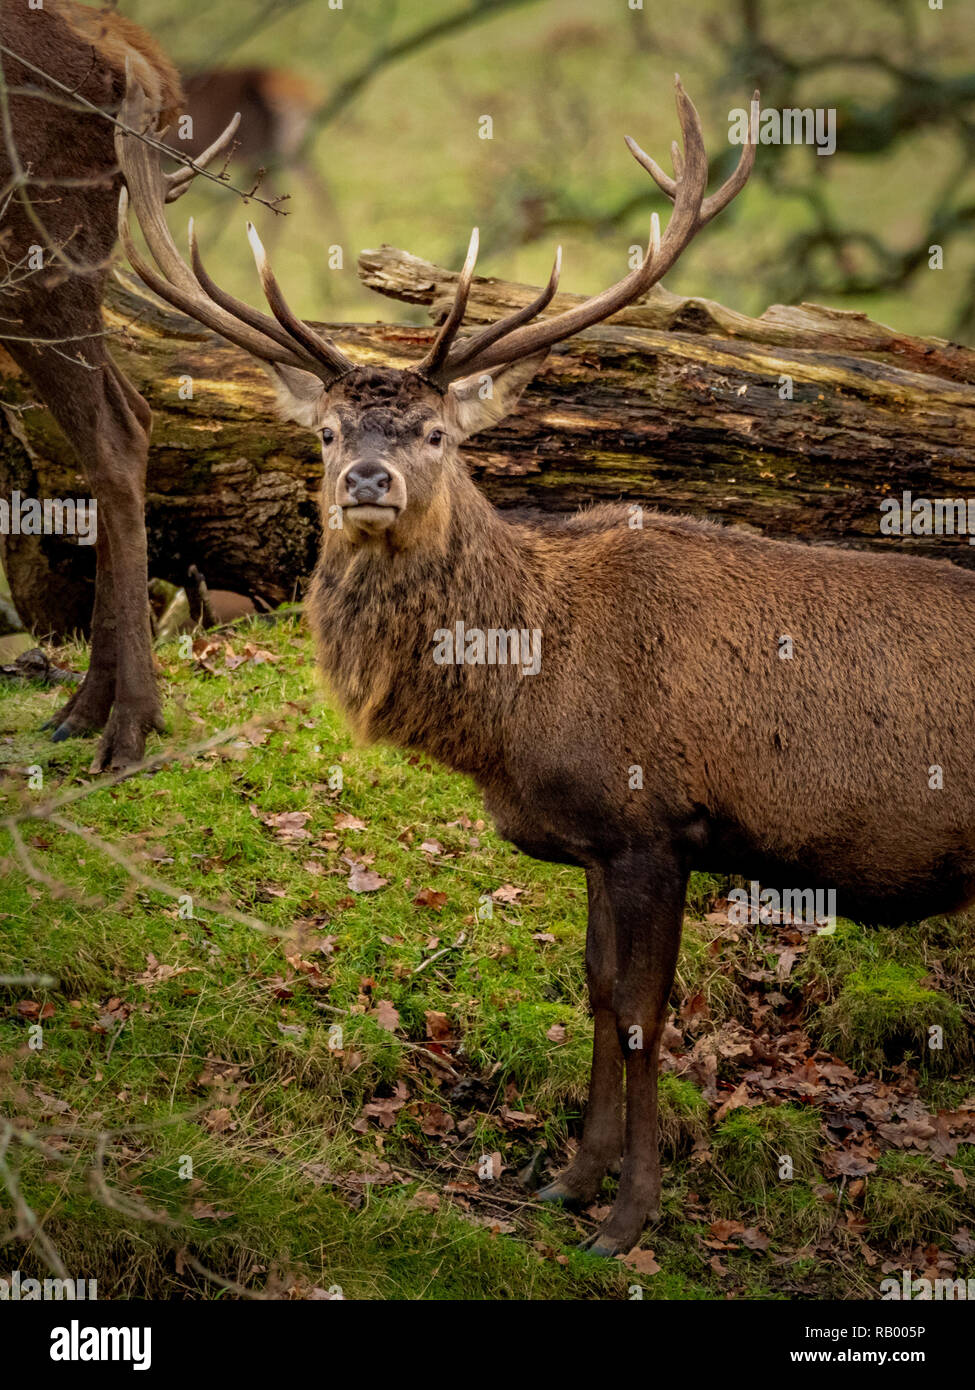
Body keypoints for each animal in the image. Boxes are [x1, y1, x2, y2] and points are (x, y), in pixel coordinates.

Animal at [116, 73, 975, 1256]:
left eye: (436, 433)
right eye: (328, 432)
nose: (369, 481)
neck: (518, 702)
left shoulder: (655, 823)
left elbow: (645, 1015)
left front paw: (628, 1219)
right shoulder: (598, 843)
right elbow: (597, 991)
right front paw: (570, 1180)